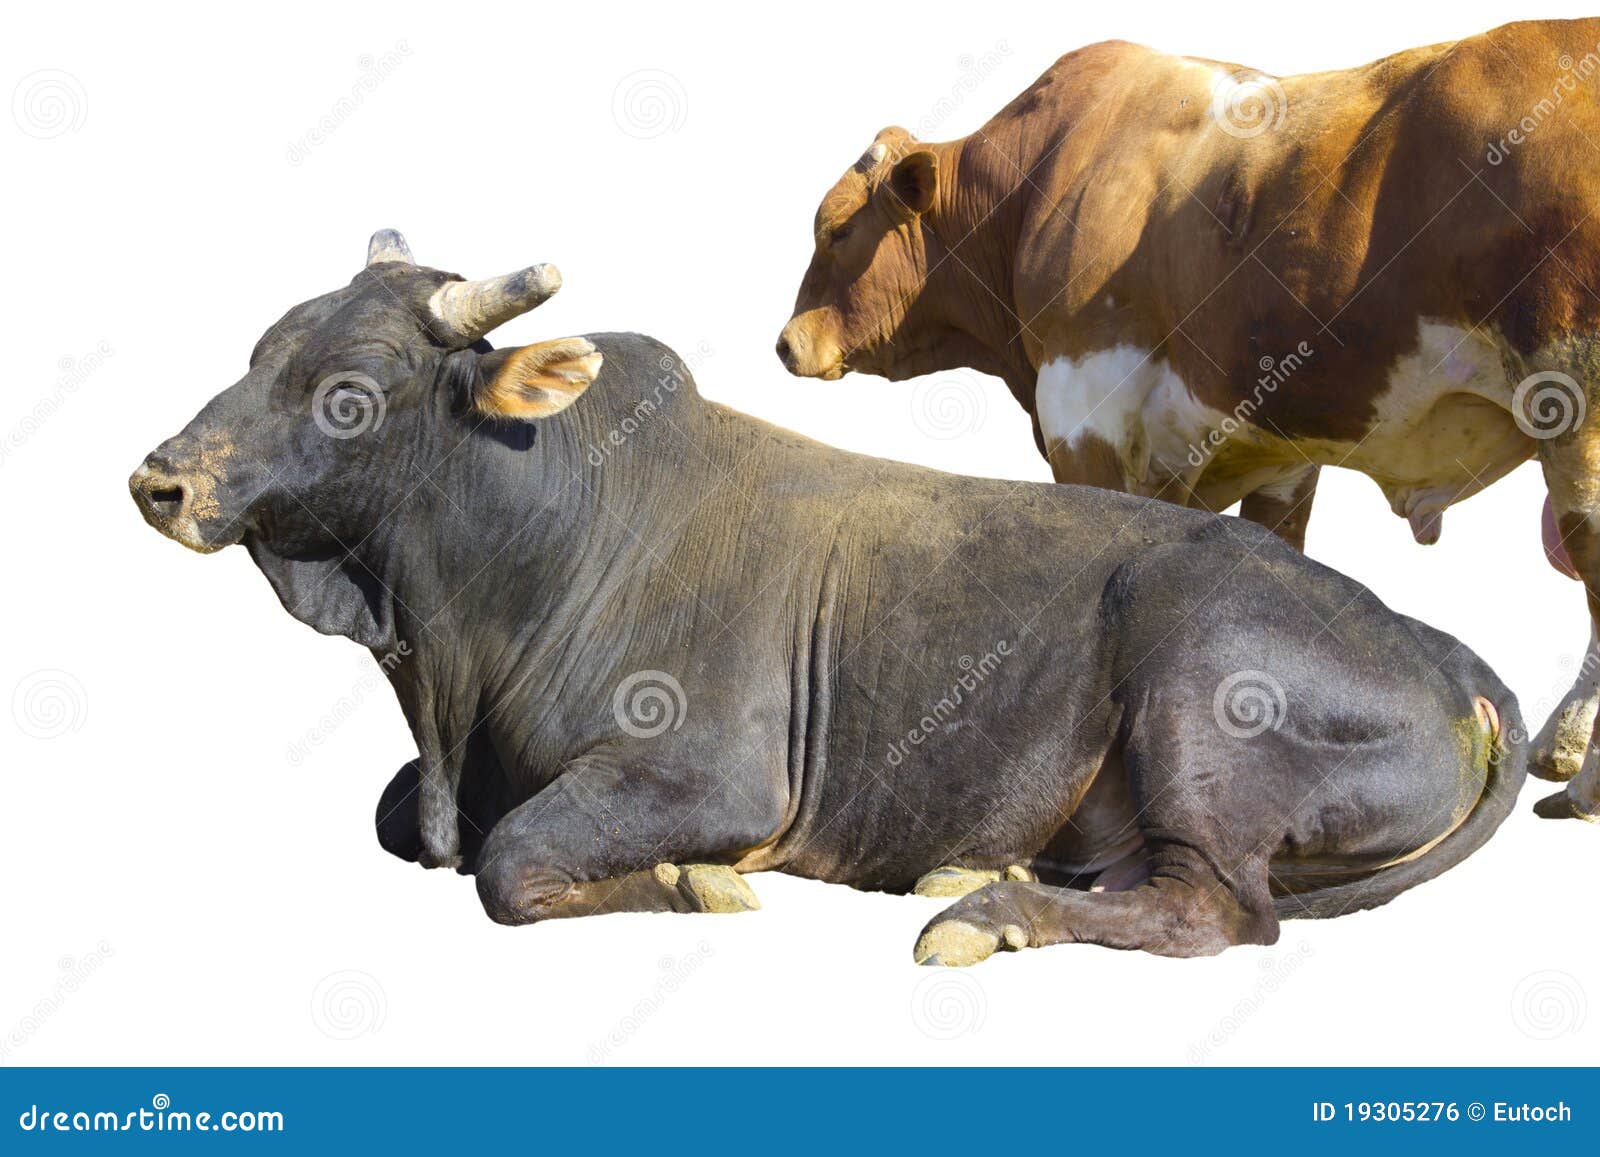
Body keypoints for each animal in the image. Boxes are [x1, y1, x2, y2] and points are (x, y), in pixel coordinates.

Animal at [132, 231, 1527, 966]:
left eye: (352, 384)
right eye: (260, 350)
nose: (162, 480)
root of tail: (1448, 652)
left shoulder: (710, 776)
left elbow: (514, 863)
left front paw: (698, 883)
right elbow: (403, 824)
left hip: (1194, 678)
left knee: (1216, 908)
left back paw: (984, 912)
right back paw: (975, 868)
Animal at [775, 18, 1600, 822]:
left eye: (837, 230)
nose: (786, 343)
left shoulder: (1085, 413)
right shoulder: (1277, 452)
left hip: (1573, 408)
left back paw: (1577, 778)